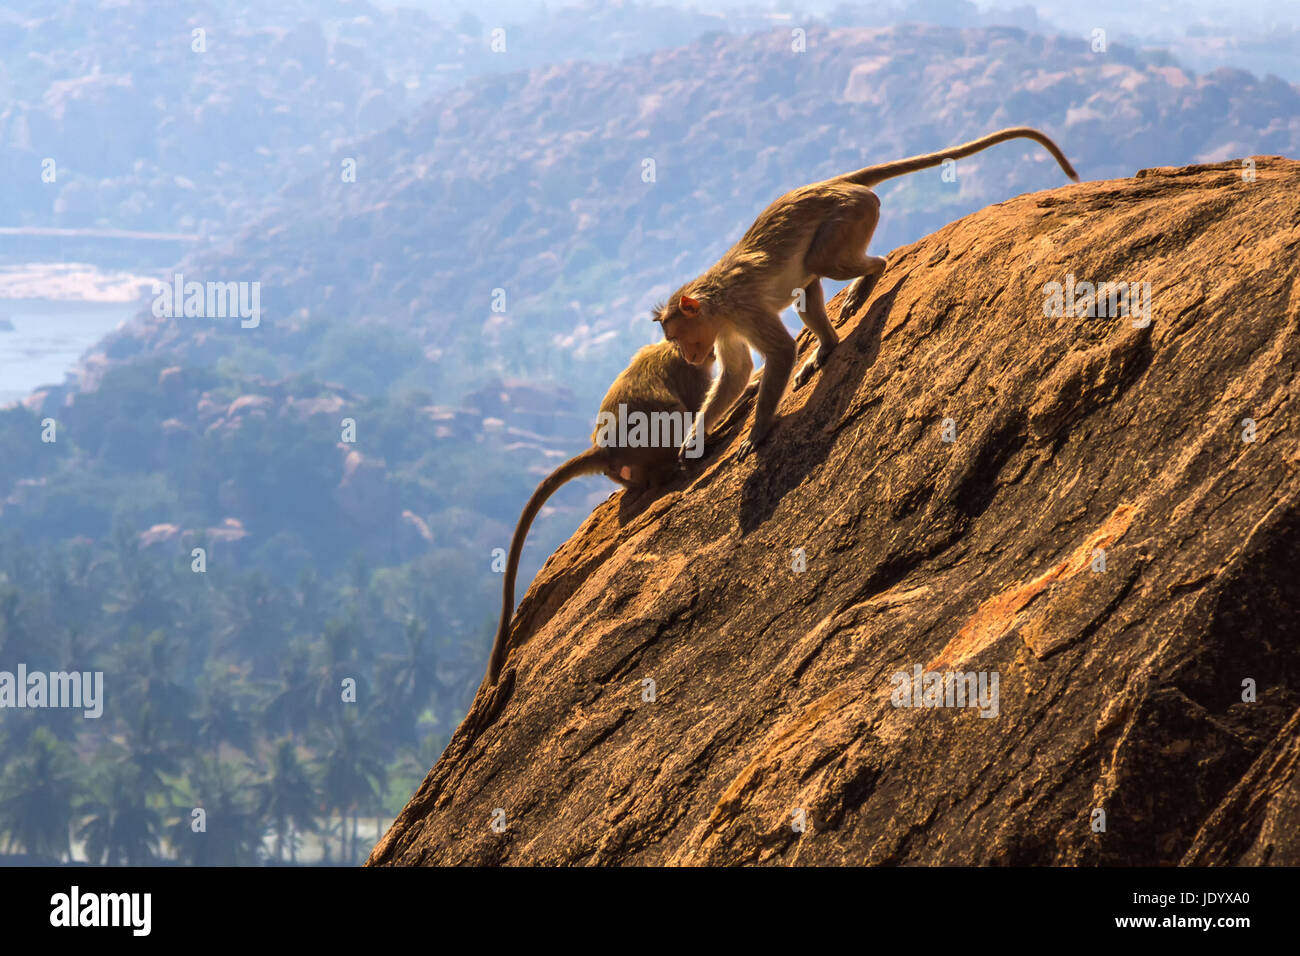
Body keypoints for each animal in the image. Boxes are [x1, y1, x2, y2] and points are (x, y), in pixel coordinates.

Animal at [484, 340, 714, 685]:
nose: (711, 354)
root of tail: (606, 450)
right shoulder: (693, 372)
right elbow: (696, 405)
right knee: (673, 415)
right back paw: (664, 474)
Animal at [655, 126, 1079, 461]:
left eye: (676, 337)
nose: (689, 357)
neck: (714, 301)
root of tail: (838, 183)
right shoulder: (724, 328)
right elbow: (737, 372)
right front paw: (695, 437)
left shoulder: (742, 309)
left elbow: (780, 352)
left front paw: (758, 431)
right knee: (807, 283)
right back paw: (825, 347)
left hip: (850, 213)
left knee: (825, 261)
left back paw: (871, 276)